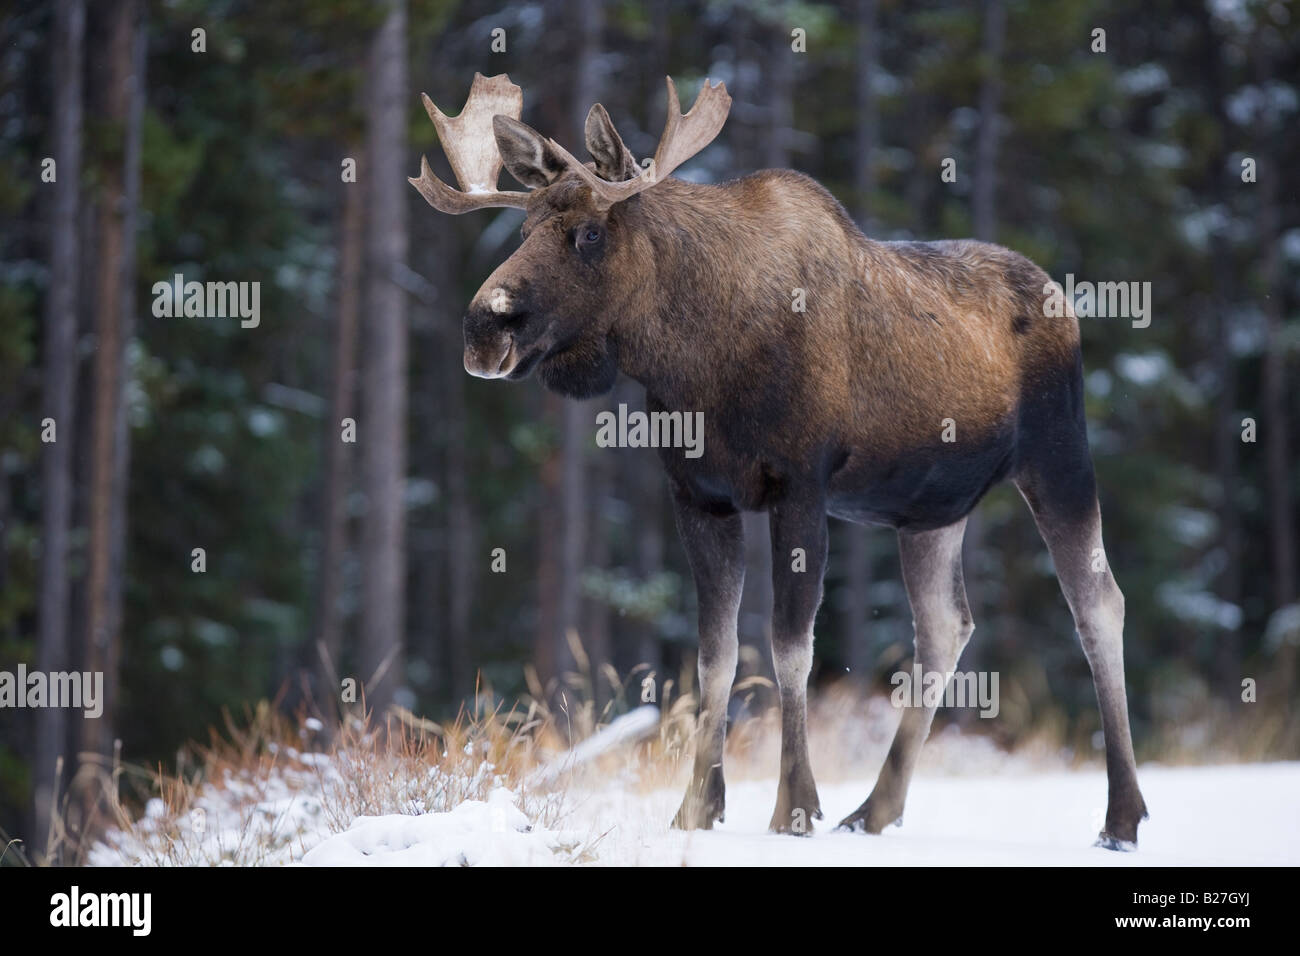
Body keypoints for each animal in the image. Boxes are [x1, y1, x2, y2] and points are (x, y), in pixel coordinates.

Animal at [410, 72, 1149, 849]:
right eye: (522, 231)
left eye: (587, 233)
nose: (484, 326)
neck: (693, 360)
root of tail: (1063, 299)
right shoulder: (699, 494)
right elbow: (716, 654)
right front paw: (697, 807)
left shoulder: (799, 486)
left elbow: (791, 645)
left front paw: (795, 804)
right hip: (929, 510)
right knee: (947, 626)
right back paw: (875, 810)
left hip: (1059, 456)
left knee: (1099, 603)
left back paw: (1121, 816)